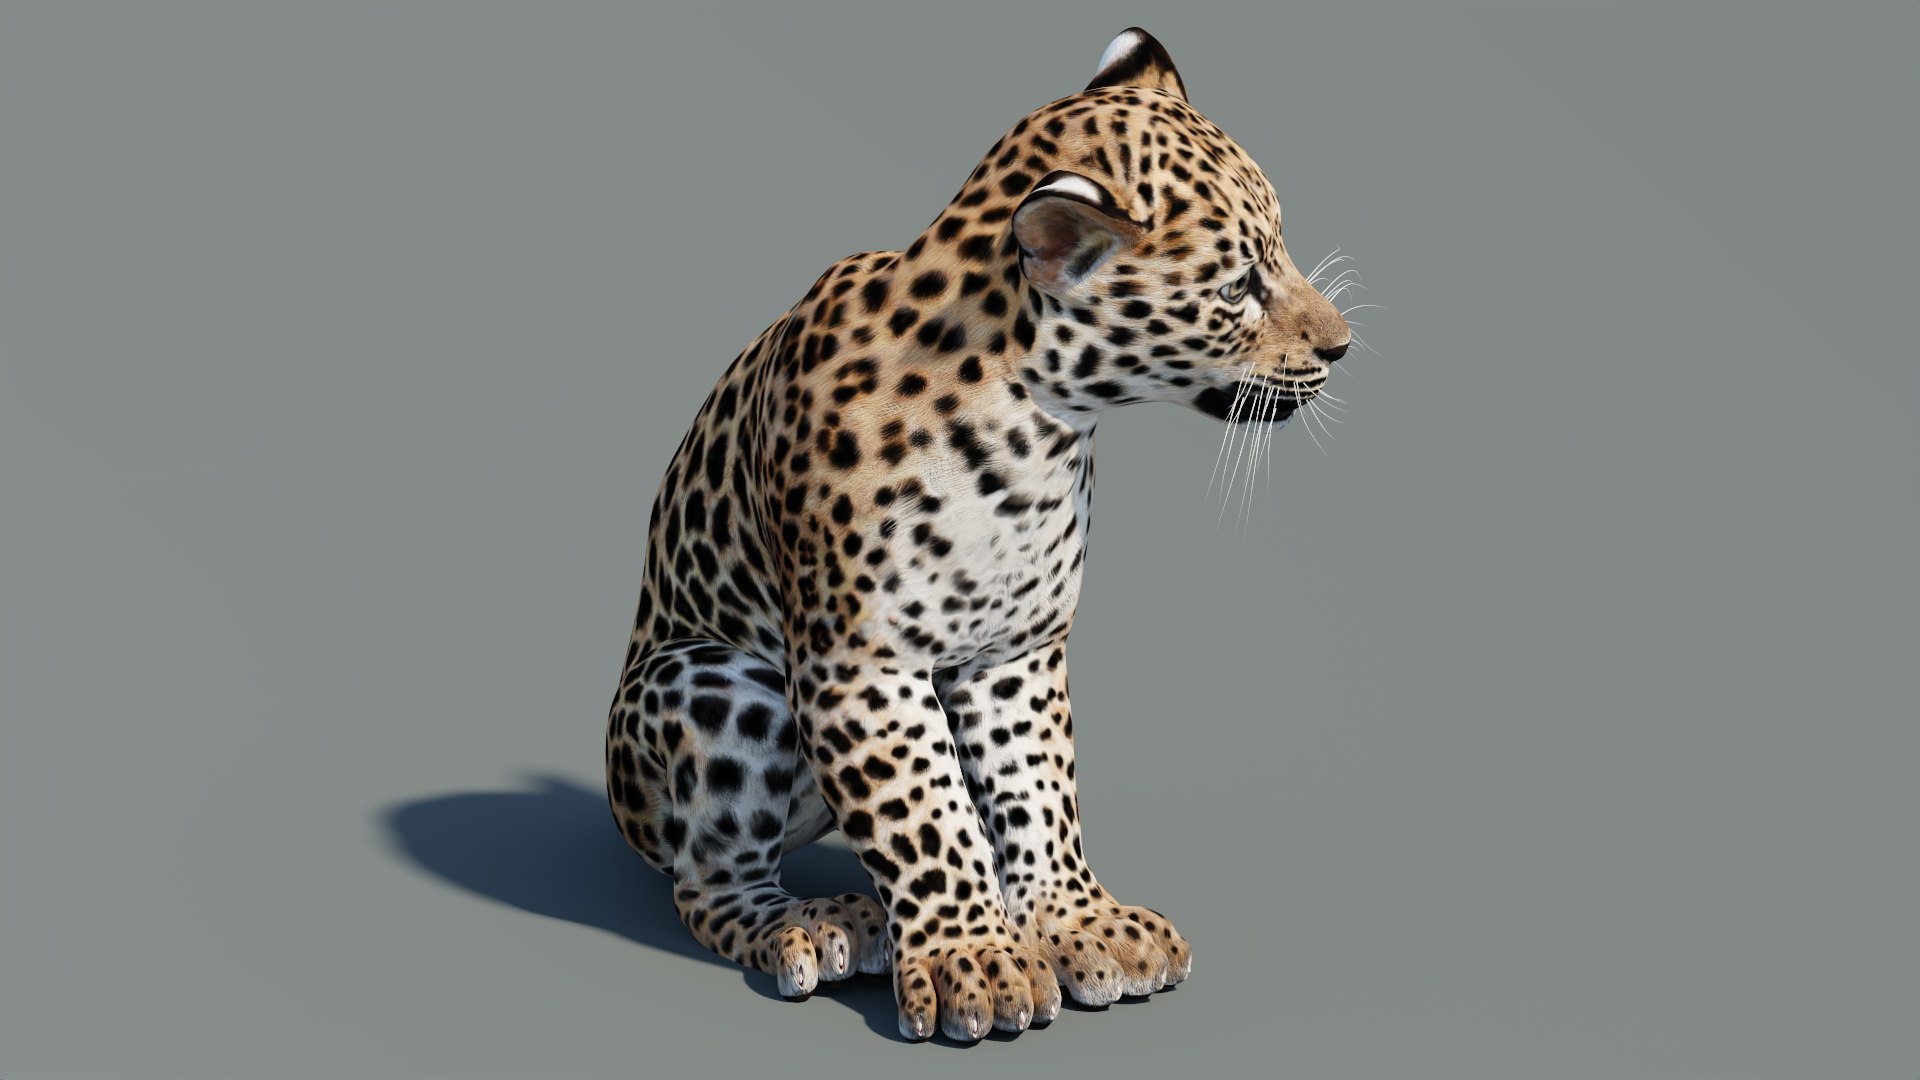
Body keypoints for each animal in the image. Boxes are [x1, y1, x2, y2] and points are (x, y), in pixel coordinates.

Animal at [604, 26, 1352, 1042]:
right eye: (1239, 286)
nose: (1343, 346)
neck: (1034, 425)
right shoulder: (863, 662)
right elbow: (923, 811)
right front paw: (977, 960)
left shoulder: (1016, 649)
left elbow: (1037, 789)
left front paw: (1080, 925)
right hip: (716, 684)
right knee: (709, 879)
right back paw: (816, 923)